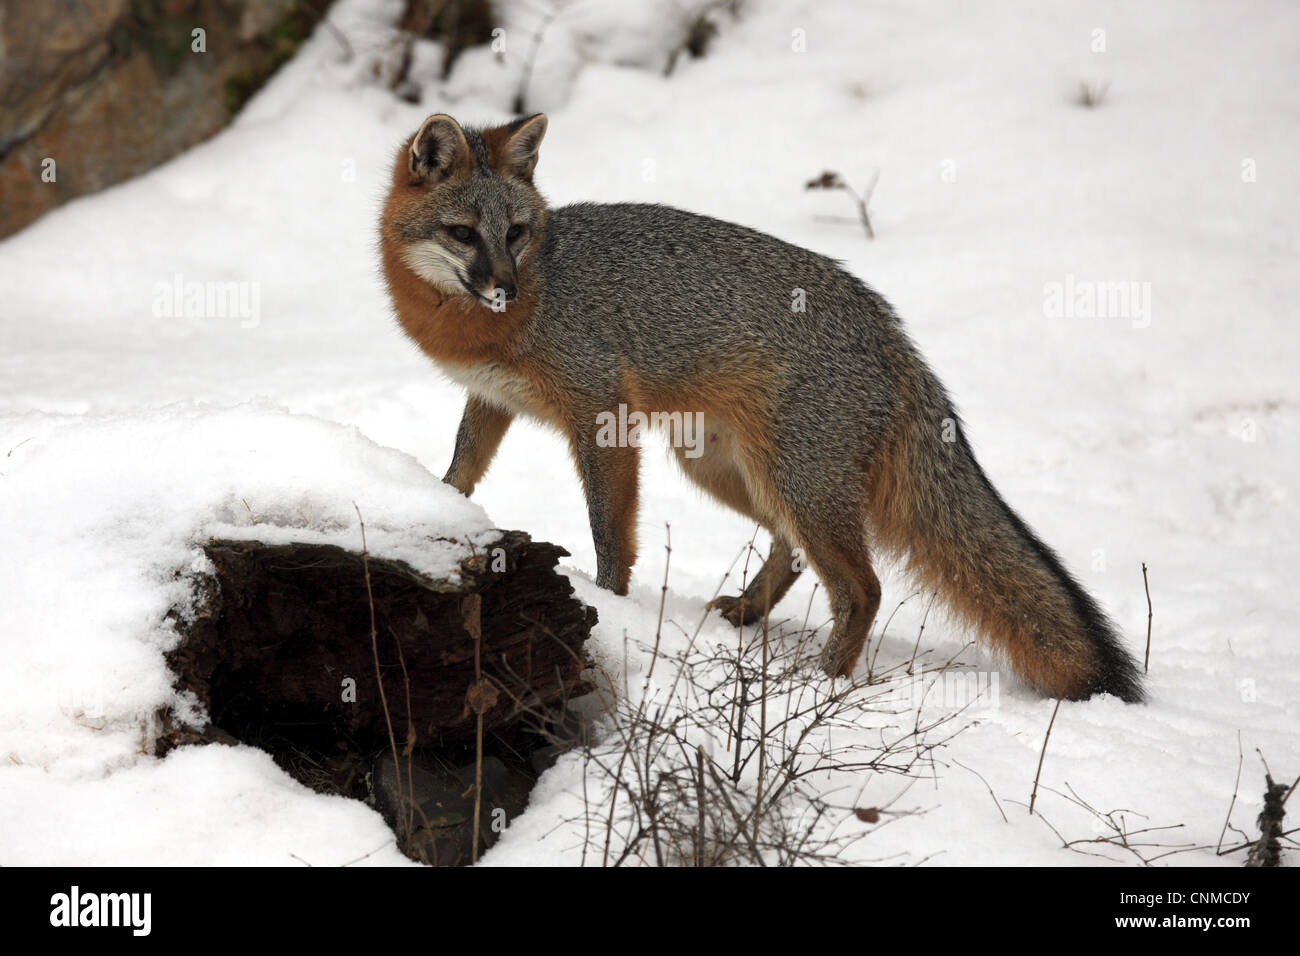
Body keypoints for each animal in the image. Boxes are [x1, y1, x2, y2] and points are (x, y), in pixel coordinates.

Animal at [378, 112, 1145, 703]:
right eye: (464, 233)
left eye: (516, 232)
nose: (503, 287)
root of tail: (887, 323)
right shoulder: (490, 399)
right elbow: (460, 471)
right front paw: (432, 513)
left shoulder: (599, 410)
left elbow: (608, 532)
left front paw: (607, 606)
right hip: (731, 471)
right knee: (794, 552)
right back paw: (749, 612)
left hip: (792, 480)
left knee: (861, 588)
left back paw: (822, 683)